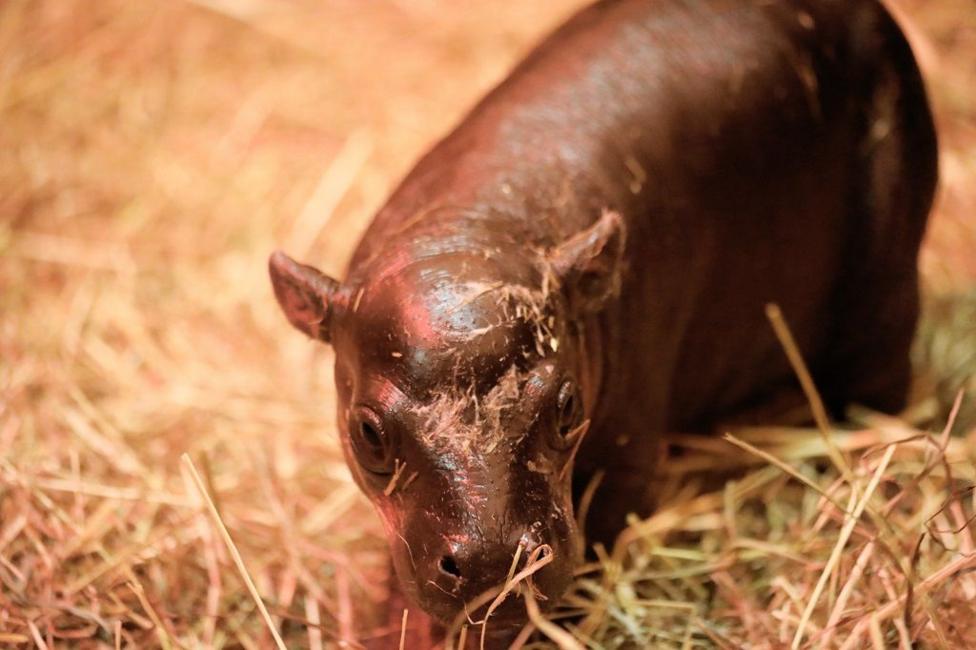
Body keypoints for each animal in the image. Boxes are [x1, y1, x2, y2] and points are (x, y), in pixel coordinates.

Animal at [269, 0, 937, 643]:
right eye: (367, 432)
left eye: (566, 405)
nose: (493, 564)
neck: (467, 225)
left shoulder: (627, 457)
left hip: (884, 293)